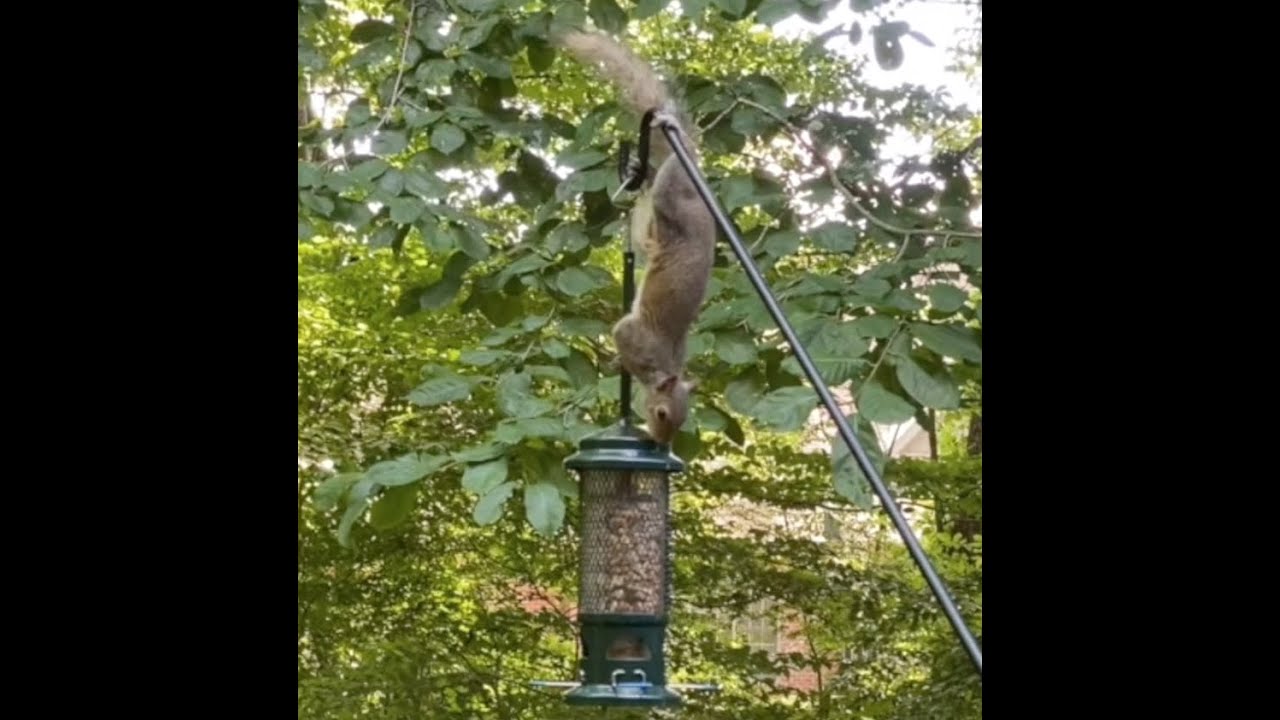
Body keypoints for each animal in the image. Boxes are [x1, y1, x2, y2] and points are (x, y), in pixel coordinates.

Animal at [557, 30, 716, 445]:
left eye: (682, 421)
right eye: (661, 414)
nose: (661, 443)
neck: (661, 366)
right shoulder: (635, 333)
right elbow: (621, 333)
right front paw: (617, 360)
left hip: (661, 220)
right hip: (671, 196)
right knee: (662, 182)